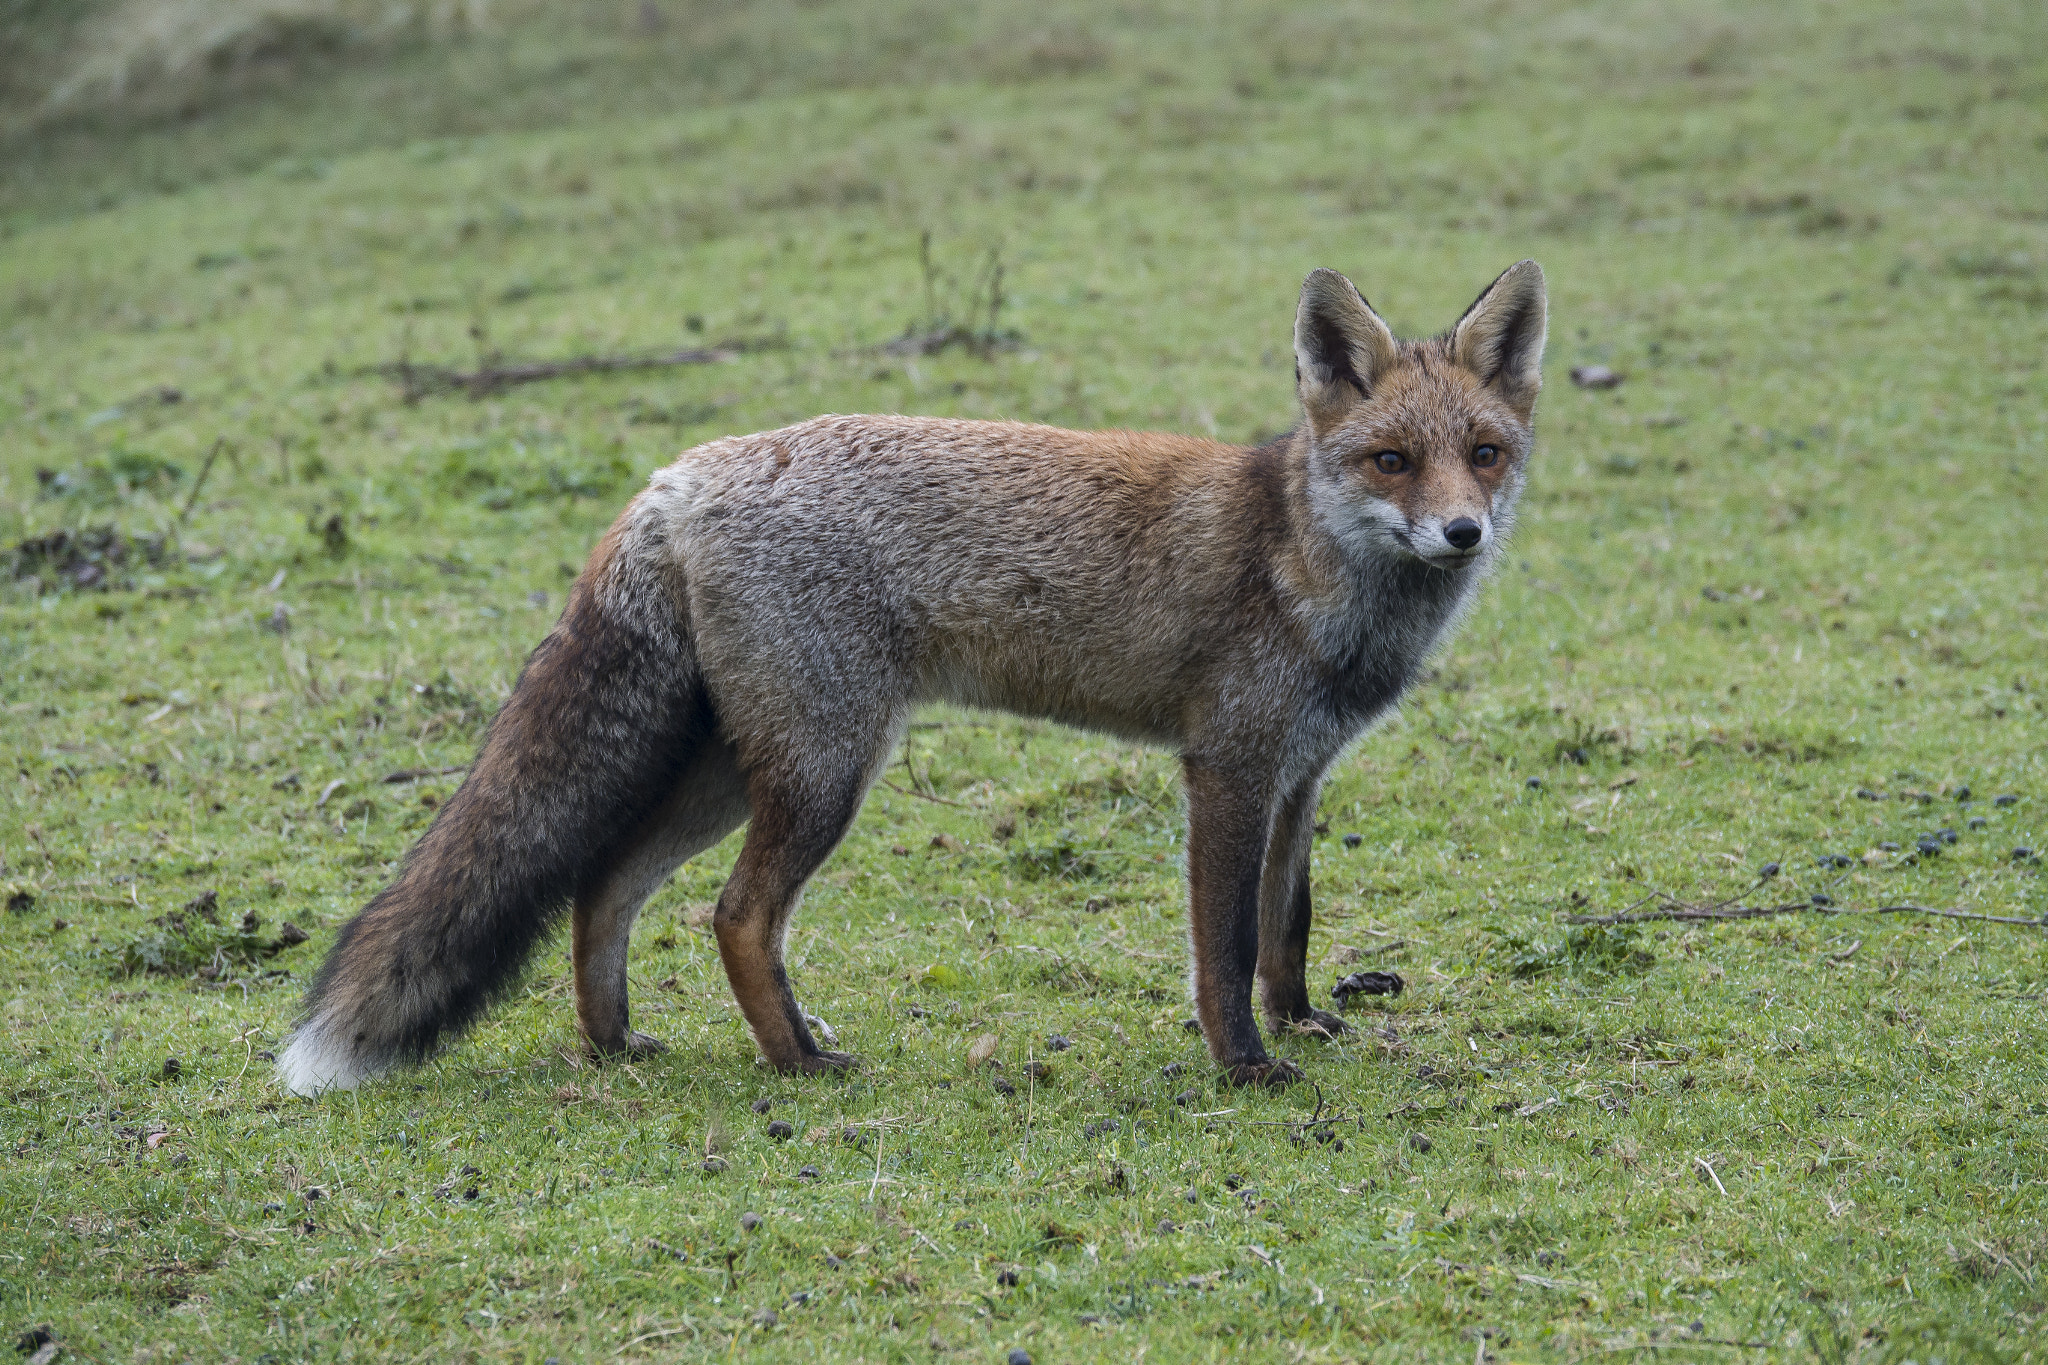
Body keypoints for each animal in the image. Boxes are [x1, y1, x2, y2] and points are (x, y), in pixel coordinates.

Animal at [278, 260, 1546, 1096]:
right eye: (1389, 460)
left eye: (1483, 455)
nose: (1461, 535)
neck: (1302, 560)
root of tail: (676, 475)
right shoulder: (1225, 770)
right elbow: (1223, 947)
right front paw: (1242, 1064)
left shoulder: (1298, 776)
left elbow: (1287, 924)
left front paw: (1303, 1021)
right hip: (825, 769)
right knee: (734, 915)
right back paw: (795, 1061)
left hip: (738, 770)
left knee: (605, 886)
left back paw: (614, 1043)